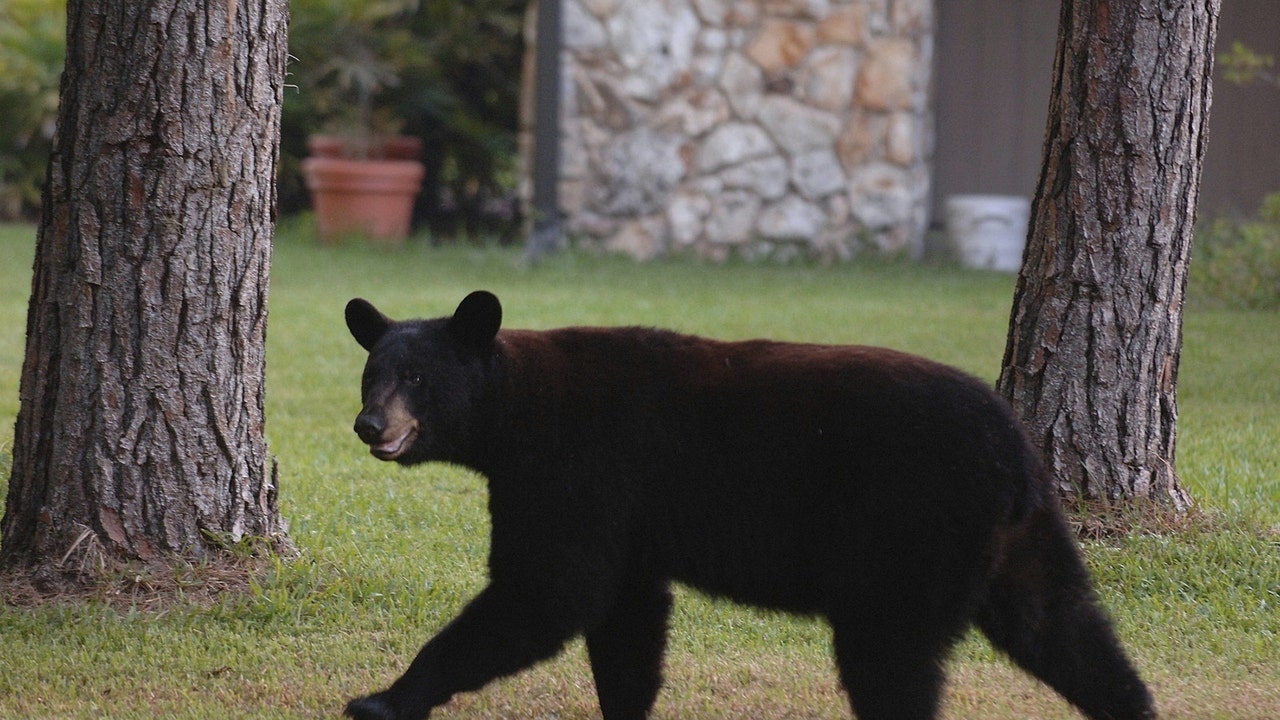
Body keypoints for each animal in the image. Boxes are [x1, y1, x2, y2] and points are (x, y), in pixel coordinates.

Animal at [342, 290, 1155, 720]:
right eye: (371, 374)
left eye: (416, 378)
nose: (370, 425)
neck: (514, 413)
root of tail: (1014, 451)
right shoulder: (629, 519)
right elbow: (628, 621)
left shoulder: (577, 472)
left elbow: (548, 590)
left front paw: (384, 699)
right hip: (1022, 538)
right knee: (1063, 624)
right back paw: (1136, 706)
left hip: (910, 534)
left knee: (892, 659)